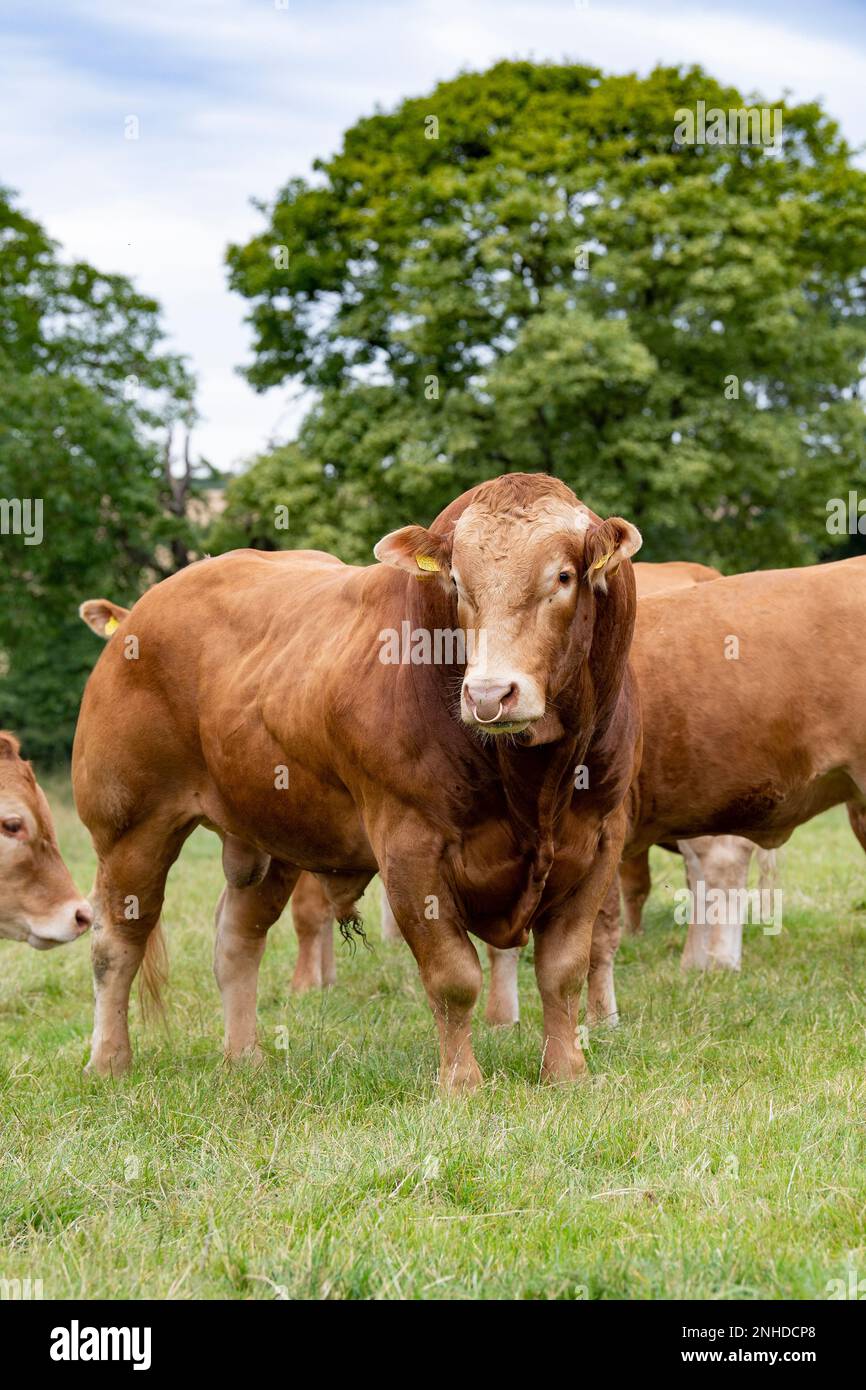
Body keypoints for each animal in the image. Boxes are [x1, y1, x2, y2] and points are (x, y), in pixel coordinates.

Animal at [72, 474, 643, 1088]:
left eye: (562, 577)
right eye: (458, 583)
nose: (490, 695)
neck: (535, 781)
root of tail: (138, 617)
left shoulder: (599, 839)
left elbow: (563, 969)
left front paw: (567, 1072)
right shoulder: (410, 847)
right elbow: (453, 976)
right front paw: (461, 1084)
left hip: (270, 838)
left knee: (237, 941)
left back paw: (244, 1054)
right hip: (131, 829)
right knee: (116, 944)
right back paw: (109, 1060)